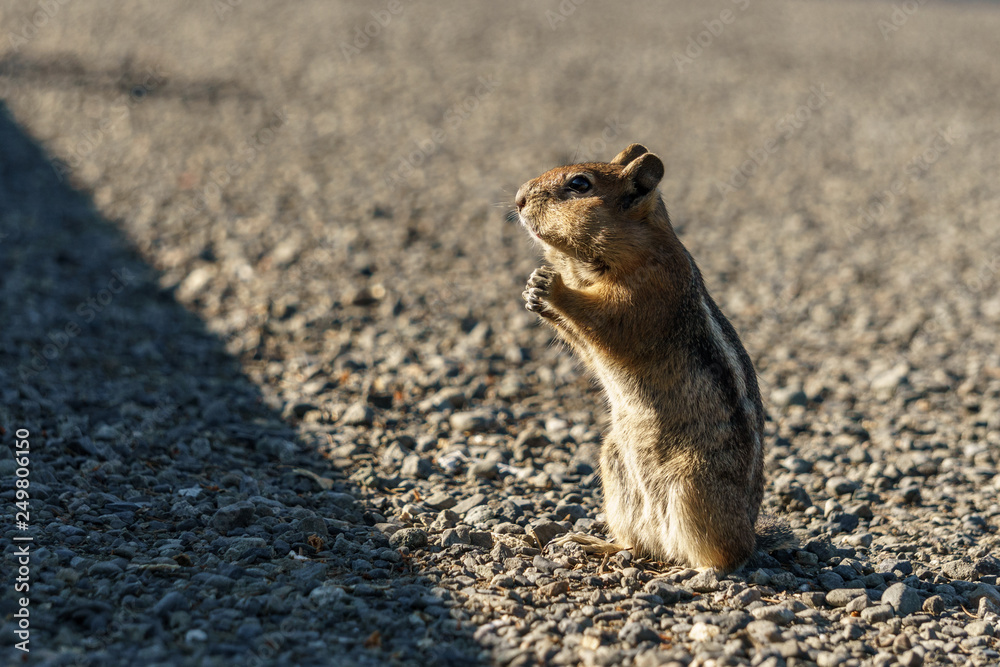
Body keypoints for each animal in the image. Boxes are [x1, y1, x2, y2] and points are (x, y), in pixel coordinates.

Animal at [514, 143, 793, 573]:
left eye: (579, 184)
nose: (518, 199)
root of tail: (752, 533)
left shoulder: (650, 289)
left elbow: (609, 320)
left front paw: (551, 285)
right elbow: (585, 343)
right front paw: (533, 291)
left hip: (694, 485)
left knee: (727, 555)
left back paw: (699, 570)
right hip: (614, 466)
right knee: (639, 544)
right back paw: (596, 543)